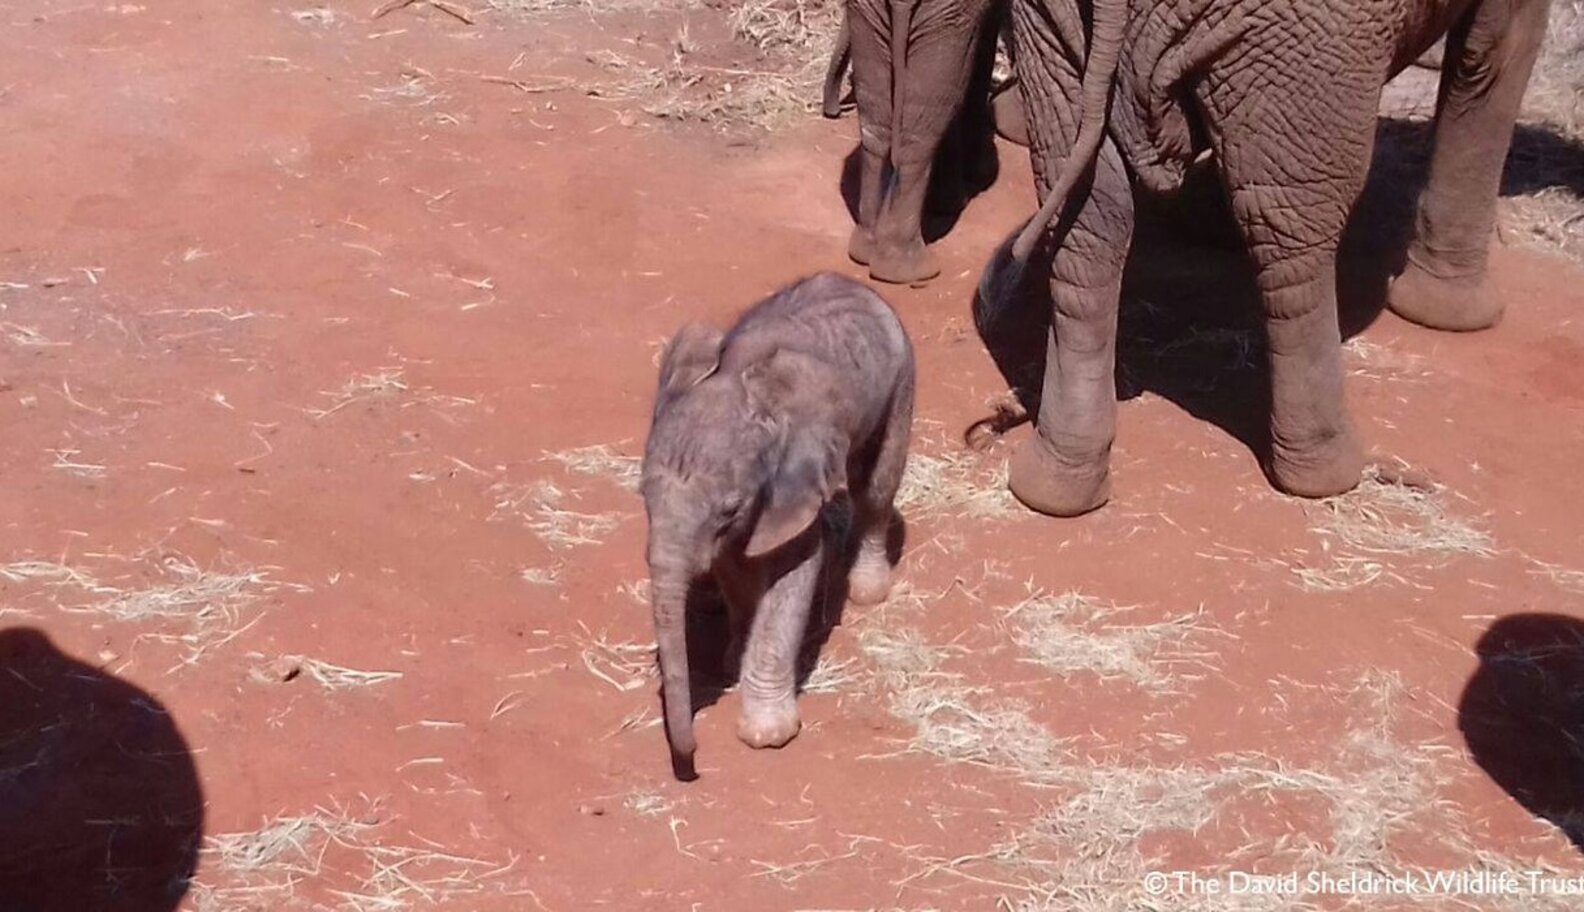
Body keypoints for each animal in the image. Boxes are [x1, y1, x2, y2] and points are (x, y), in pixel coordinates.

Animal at [641, 272, 915, 780]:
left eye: (729, 508)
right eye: (642, 497)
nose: (693, 764)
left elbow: (793, 570)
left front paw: (767, 735)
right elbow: (734, 564)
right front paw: (731, 663)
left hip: (902, 376)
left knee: (876, 486)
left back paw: (868, 590)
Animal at [839, 0, 1006, 284]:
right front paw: (976, 179)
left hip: (870, 11)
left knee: (877, 119)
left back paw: (866, 250)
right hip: (948, 17)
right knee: (923, 128)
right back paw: (910, 271)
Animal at [982, 0, 1551, 516]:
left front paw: (1202, 216)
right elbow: (1495, 54)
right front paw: (1455, 317)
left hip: (1055, 28)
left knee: (1088, 216)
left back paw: (1053, 488)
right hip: (1306, 35)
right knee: (1290, 226)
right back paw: (1326, 473)